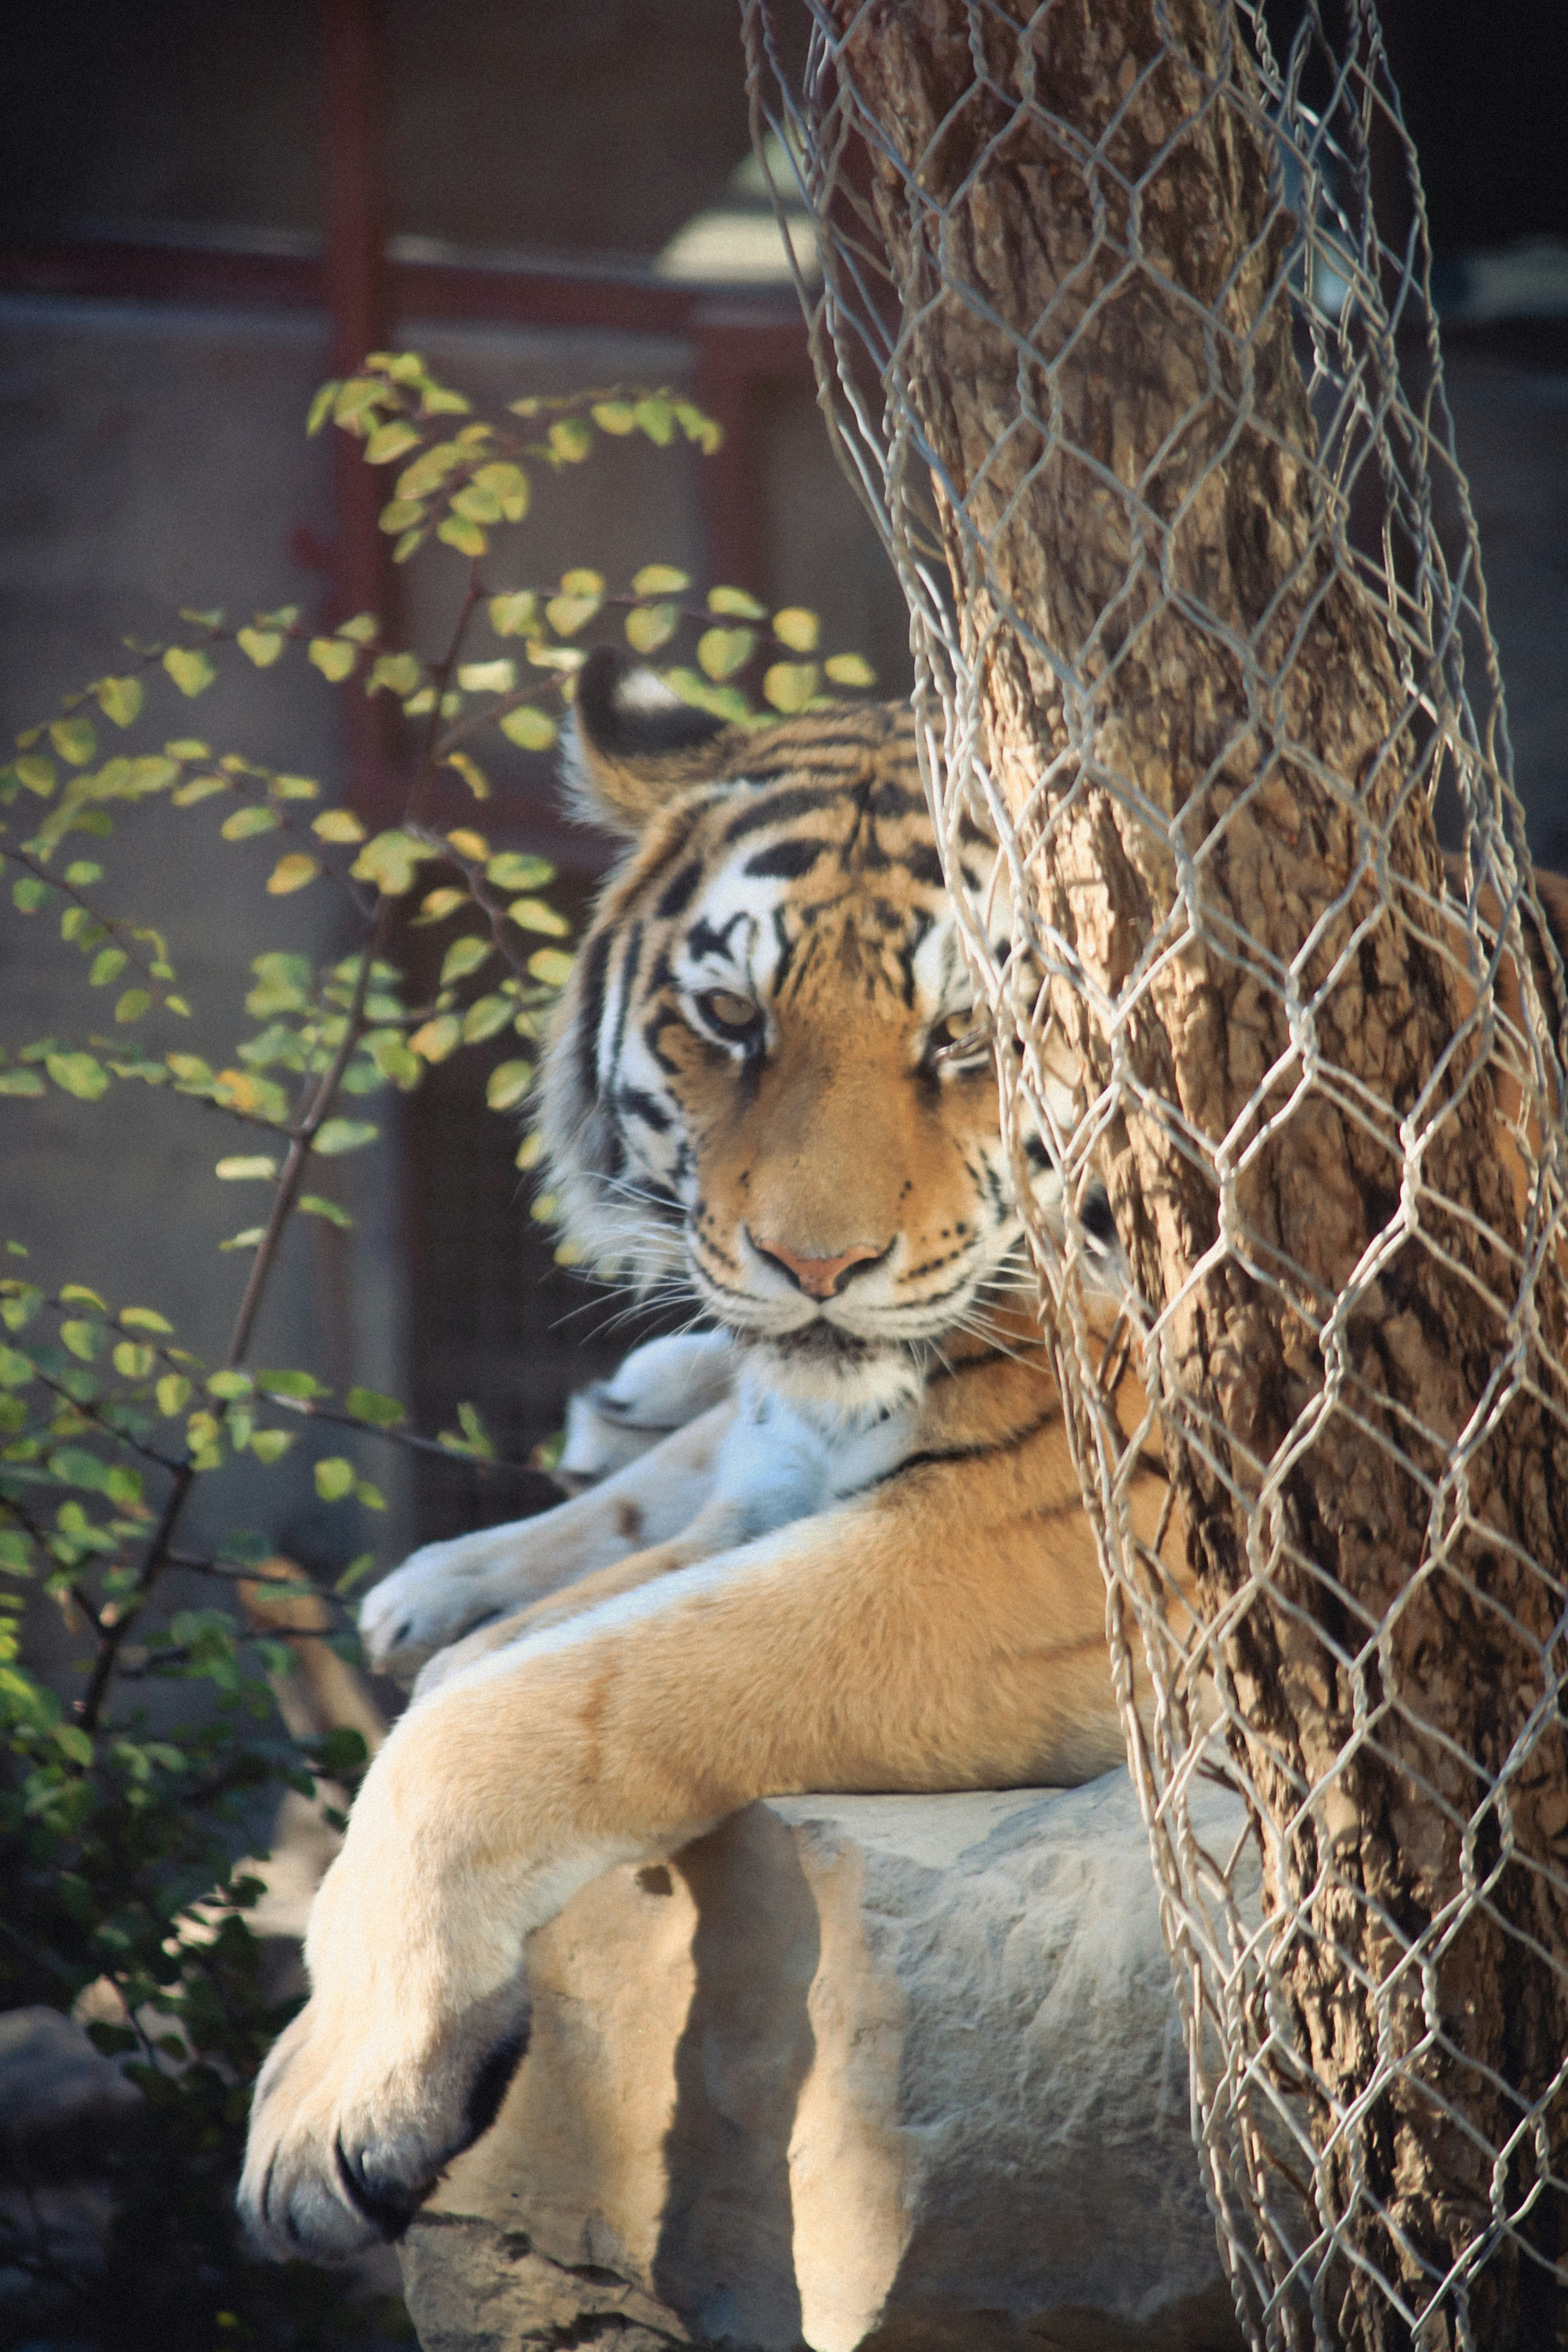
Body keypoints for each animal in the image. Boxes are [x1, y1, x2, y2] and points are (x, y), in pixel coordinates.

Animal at [238, 647, 1566, 2262]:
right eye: (729, 1018)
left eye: (969, 1038)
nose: (814, 1265)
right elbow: (499, 1666)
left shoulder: (1037, 1558)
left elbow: (522, 1704)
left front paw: (328, 2102)